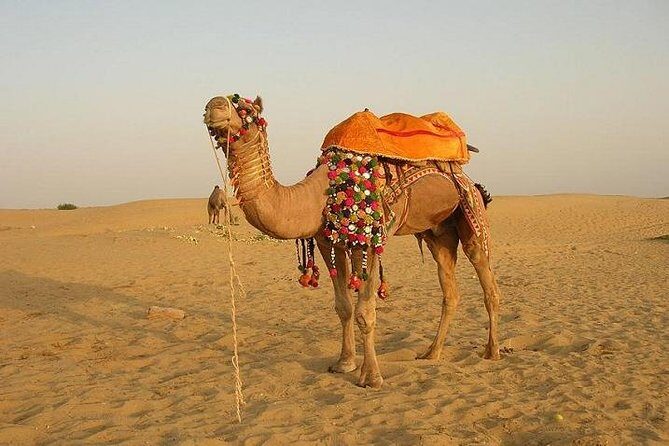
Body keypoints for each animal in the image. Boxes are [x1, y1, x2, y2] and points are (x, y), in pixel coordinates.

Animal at [203, 95, 502, 388]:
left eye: (246, 110)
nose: (213, 105)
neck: (319, 194)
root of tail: (470, 179)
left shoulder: (369, 240)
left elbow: (364, 311)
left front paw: (371, 377)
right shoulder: (328, 242)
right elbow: (343, 307)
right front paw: (344, 363)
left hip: (471, 211)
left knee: (487, 279)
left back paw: (492, 351)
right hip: (438, 233)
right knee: (450, 288)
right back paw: (432, 353)